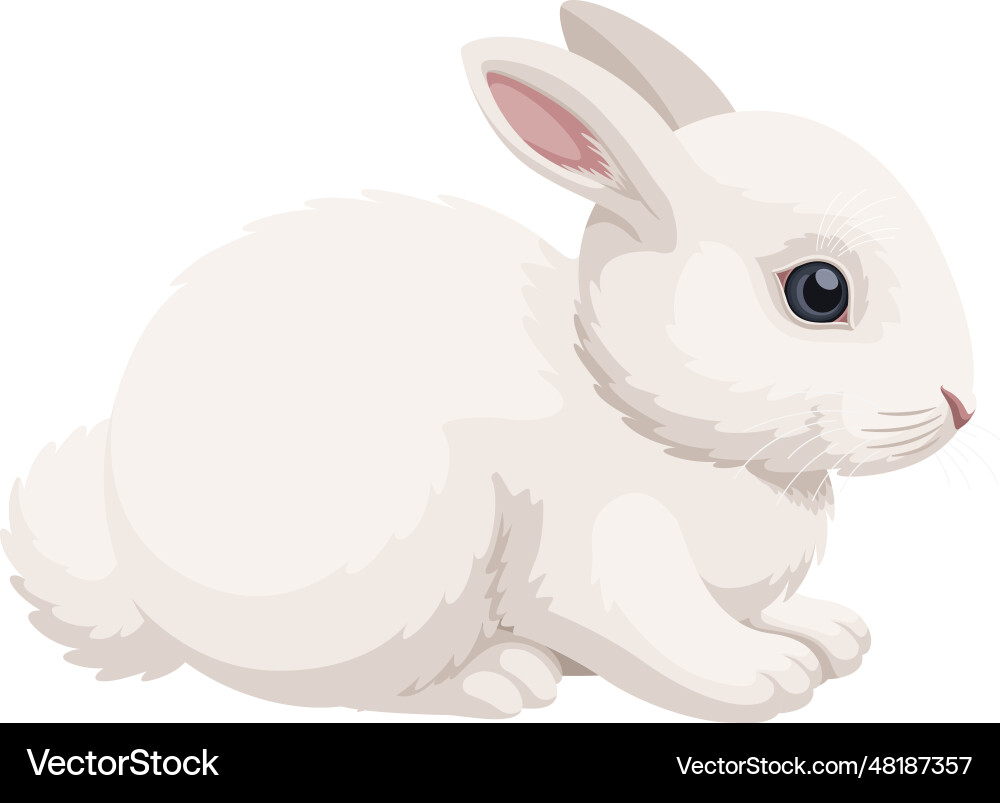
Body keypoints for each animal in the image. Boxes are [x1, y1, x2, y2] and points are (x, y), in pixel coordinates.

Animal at [1, 1, 976, 721]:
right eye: (818, 291)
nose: (963, 405)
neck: (648, 413)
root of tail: (143, 583)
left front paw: (832, 632)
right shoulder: (603, 550)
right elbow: (658, 626)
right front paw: (767, 674)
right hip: (408, 566)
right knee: (340, 688)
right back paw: (500, 676)